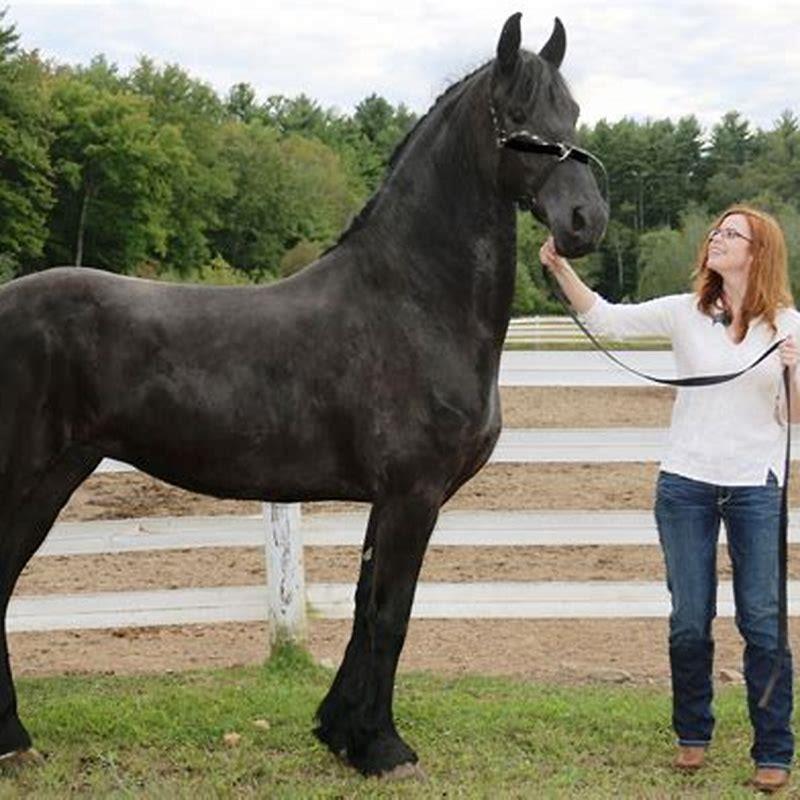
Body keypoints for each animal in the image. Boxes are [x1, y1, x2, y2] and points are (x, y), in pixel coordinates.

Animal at [0, 13, 607, 777]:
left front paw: (341, 731)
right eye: (518, 115)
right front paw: (383, 746)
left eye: (573, 111)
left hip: (55, 475)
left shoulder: (392, 499)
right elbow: (391, 613)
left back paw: (13, 737)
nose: (586, 220)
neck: (413, 300)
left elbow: (364, 607)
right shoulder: (413, 494)